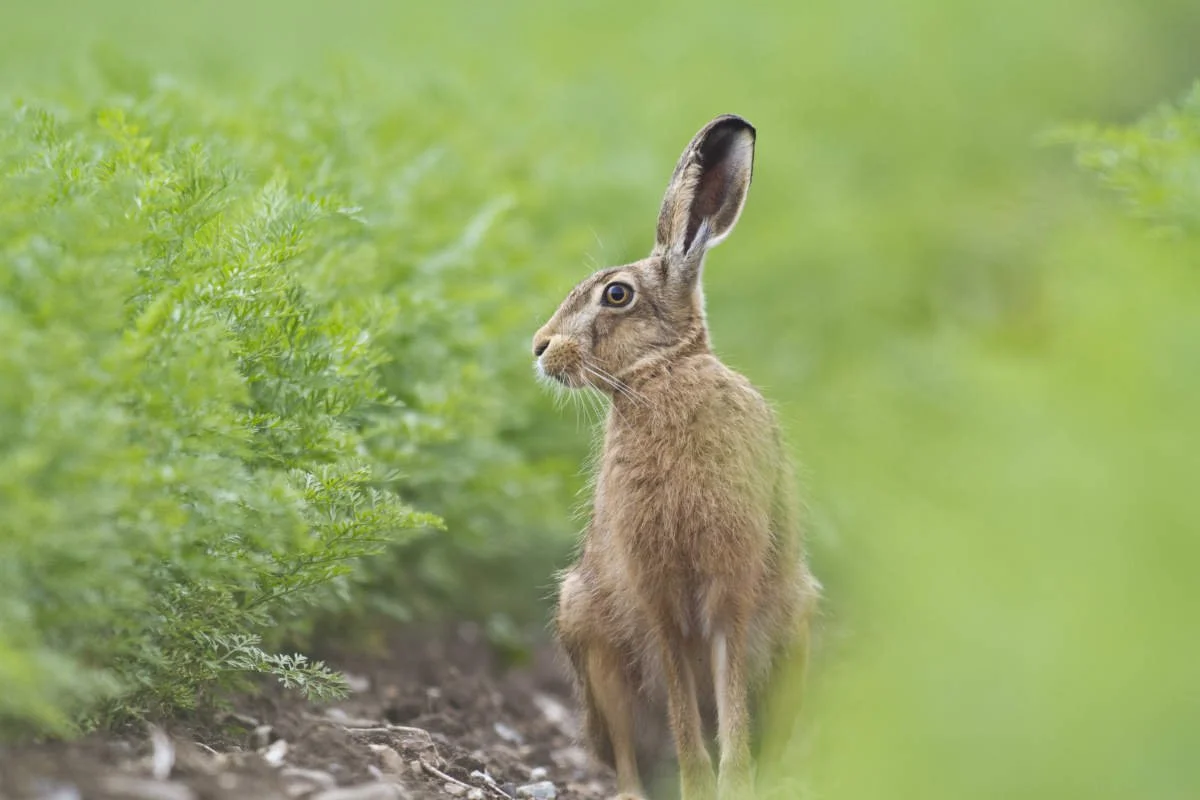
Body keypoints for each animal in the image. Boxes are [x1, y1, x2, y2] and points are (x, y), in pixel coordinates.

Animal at [531, 114, 819, 800]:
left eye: (616, 295)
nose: (540, 348)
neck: (662, 374)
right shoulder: (655, 590)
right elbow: (685, 714)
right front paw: (699, 783)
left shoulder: (730, 583)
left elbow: (729, 700)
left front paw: (733, 784)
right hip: (587, 631)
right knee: (628, 752)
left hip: (796, 624)